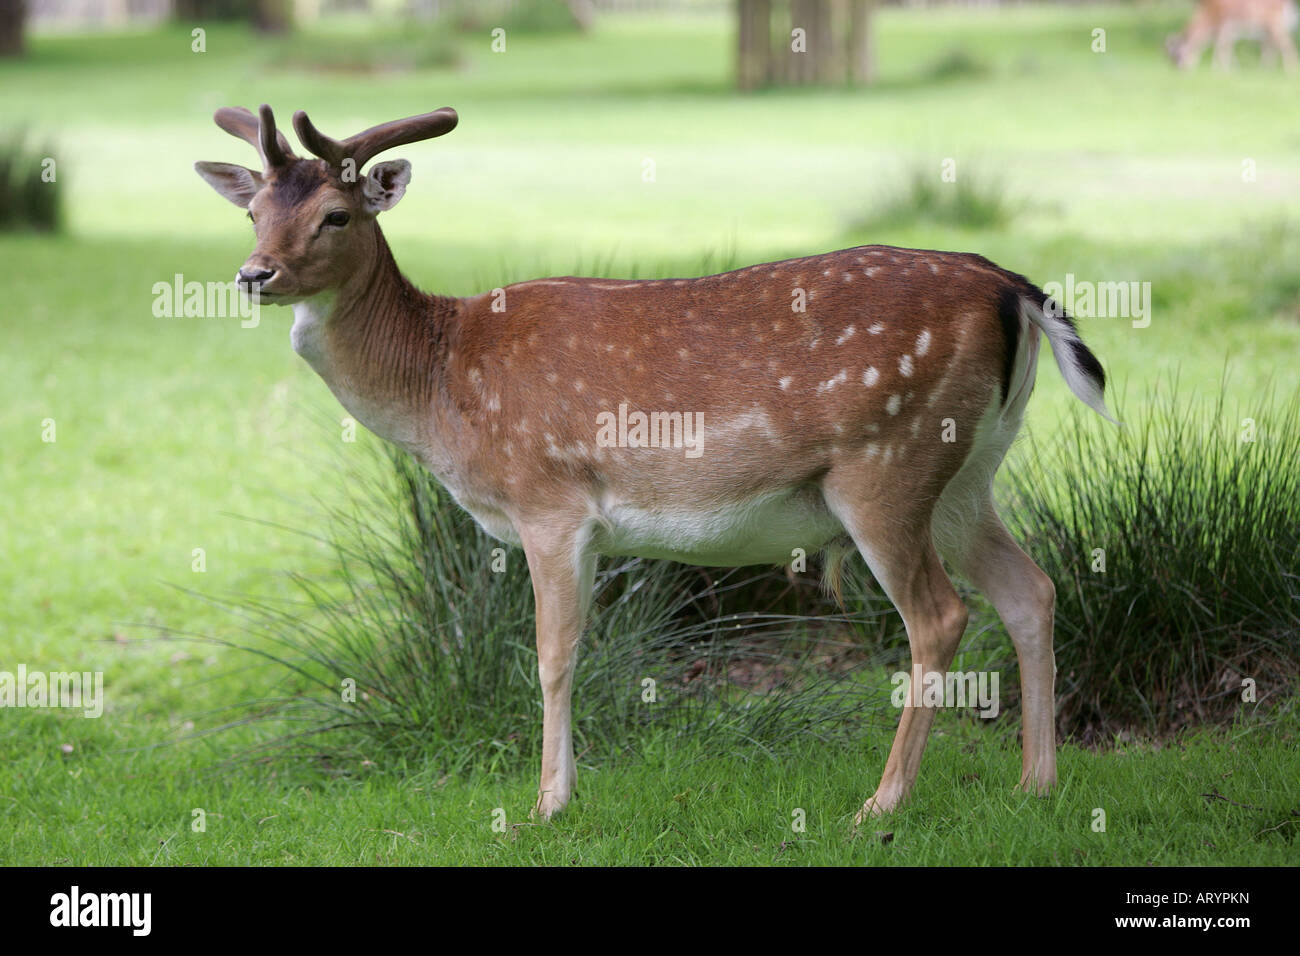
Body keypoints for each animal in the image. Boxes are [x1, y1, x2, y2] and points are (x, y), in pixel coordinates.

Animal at [196, 104, 1114, 823]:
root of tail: (1014, 288)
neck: (443, 381)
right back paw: (1036, 786)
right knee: (1030, 588)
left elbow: (552, 654)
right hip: (967, 473)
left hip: (885, 464)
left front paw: (545, 804)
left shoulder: (550, 499)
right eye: (253, 214)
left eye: (336, 215)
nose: (254, 274)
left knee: (941, 615)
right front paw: (563, 793)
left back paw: (880, 804)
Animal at [1166, 0, 1299, 71]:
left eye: (1177, 55)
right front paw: (1232, 68)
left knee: (1287, 45)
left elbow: (1222, 48)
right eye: (1171, 58)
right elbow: (1225, 48)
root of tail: (1289, 6)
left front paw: (1221, 70)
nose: (1180, 70)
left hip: (1275, 24)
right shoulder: (1228, 32)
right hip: (1267, 30)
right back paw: (1265, 69)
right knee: (1271, 47)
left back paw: (1291, 71)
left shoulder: (1226, 27)